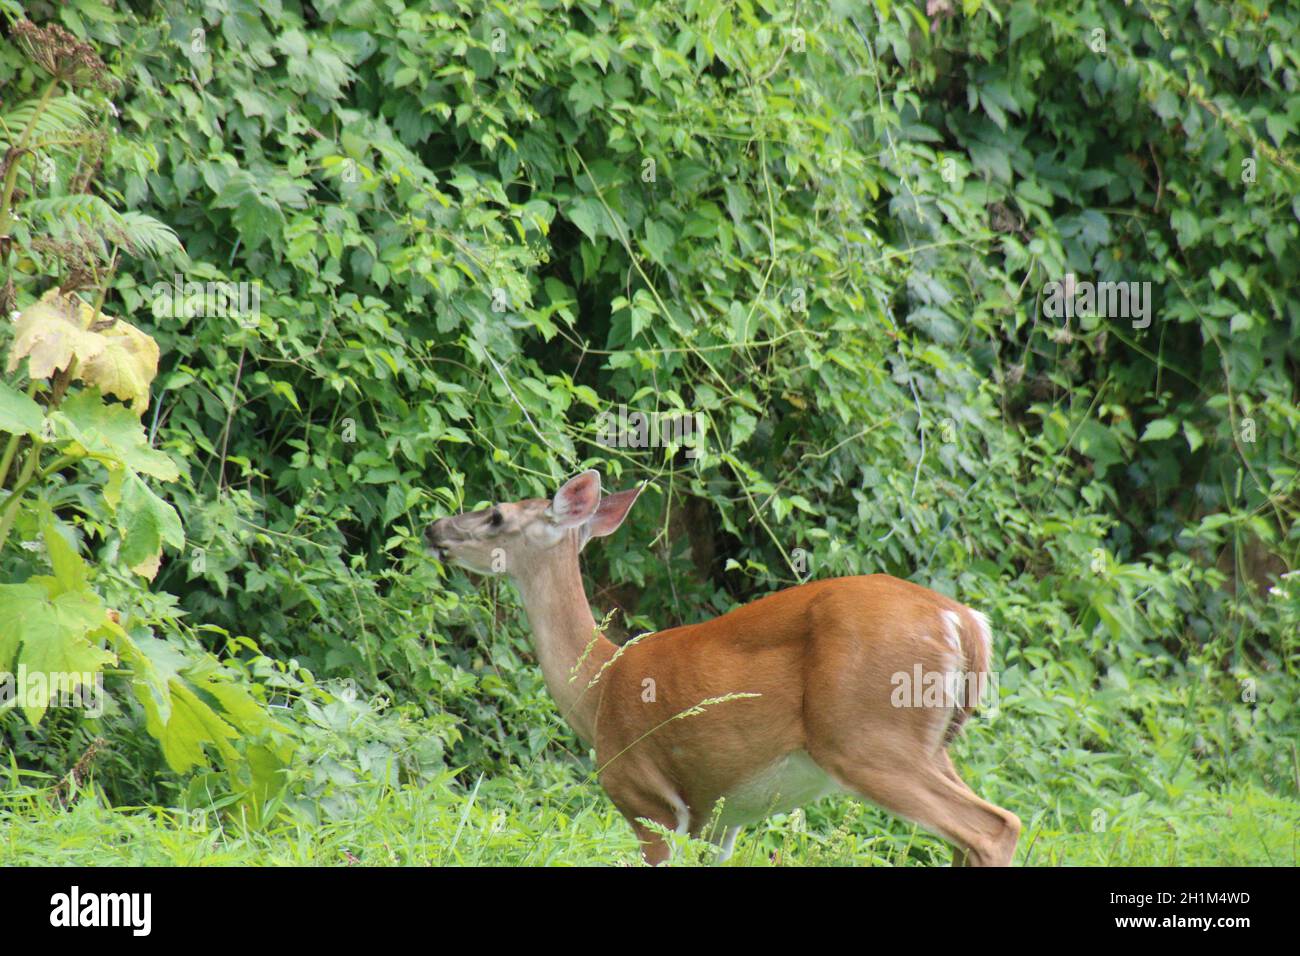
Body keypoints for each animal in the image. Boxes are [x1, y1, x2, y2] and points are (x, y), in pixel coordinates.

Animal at [424, 469, 1020, 866]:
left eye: (496, 514)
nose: (434, 529)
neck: (597, 688)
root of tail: (965, 621)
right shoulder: (719, 819)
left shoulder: (646, 798)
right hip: (930, 744)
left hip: (866, 737)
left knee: (995, 826)